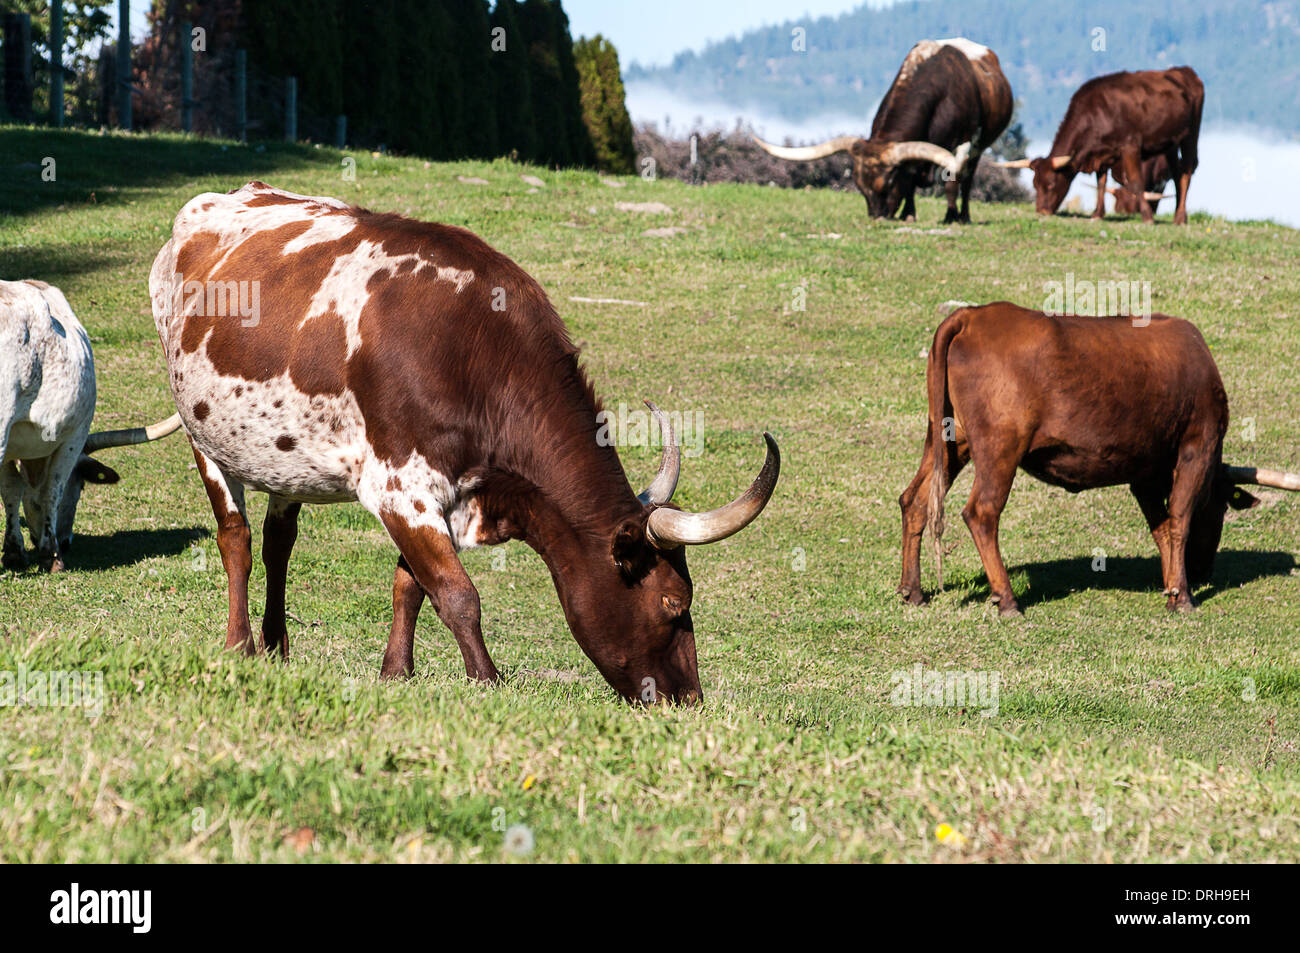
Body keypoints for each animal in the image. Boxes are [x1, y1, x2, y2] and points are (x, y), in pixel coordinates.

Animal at [1, 279, 181, 571]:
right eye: (81, 486)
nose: (66, 542)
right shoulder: (74, 437)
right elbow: (52, 490)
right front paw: (51, 556)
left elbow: (11, 489)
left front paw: (14, 552)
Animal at [149, 182, 780, 704]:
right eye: (674, 603)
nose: (689, 701)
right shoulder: (398, 488)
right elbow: (457, 594)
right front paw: (488, 682)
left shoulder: (436, 495)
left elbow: (409, 584)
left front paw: (395, 673)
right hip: (204, 432)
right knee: (237, 538)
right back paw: (240, 645)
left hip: (284, 456)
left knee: (279, 541)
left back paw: (277, 648)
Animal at [752, 38, 1013, 223]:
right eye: (860, 187)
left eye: (887, 185)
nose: (878, 217)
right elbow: (910, 182)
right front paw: (908, 214)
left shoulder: (963, 142)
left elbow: (952, 182)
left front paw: (951, 217)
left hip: (980, 147)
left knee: (967, 180)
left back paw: (964, 216)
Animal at [897, 302, 1298, 617]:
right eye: (1219, 507)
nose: (1202, 571)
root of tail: (972, 315)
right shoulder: (1196, 446)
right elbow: (1179, 520)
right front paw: (1181, 596)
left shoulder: (1145, 472)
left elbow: (1161, 527)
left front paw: (1170, 584)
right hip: (999, 448)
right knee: (982, 512)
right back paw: (1007, 599)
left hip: (949, 440)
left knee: (914, 500)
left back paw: (912, 591)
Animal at [996, 67, 1203, 224]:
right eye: (1035, 184)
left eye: (1051, 184)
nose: (1042, 211)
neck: (1097, 112)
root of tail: (1184, 71)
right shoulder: (1102, 153)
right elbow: (1101, 182)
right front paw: (1097, 214)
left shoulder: (1130, 147)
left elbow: (1136, 181)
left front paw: (1147, 216)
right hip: (1170, 144)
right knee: (1177, 174)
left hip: (1190, 135)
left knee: (1186, 172)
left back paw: (1180, 217)